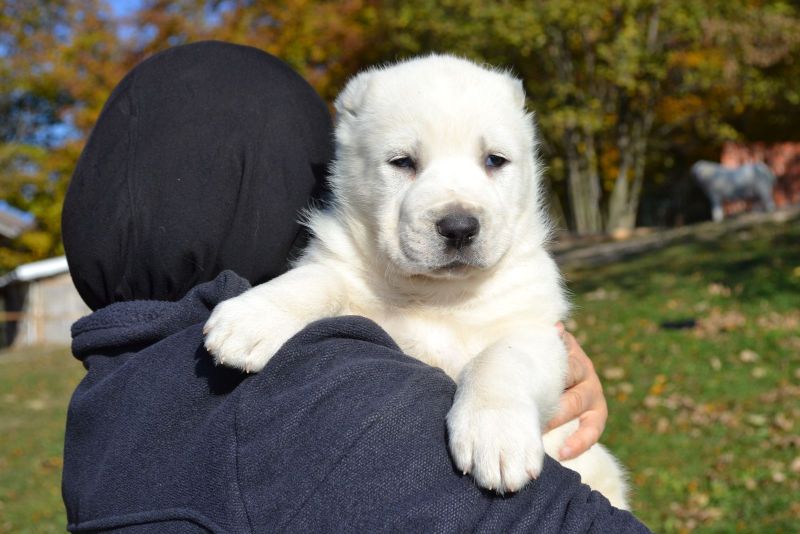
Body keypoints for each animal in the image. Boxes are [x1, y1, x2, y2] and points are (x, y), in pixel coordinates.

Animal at [206, 54, 632, 510]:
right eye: (402, 162)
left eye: (494, 160)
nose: (459, 227)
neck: (436, 294)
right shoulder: (341, 269)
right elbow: (317, 277)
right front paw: (252, 318)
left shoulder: (536, 331)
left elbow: (502, 358)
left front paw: (495, 436)